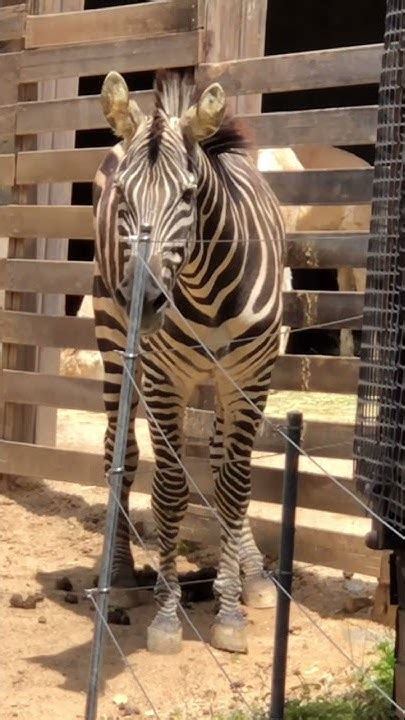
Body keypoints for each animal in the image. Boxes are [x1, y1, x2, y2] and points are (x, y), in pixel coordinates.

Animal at [93, 68, 285, 654]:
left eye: (188, 193)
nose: (145, 298)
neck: (206, 287)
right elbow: (172, 491)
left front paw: (230, 609)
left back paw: (252, 575)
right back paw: (121, 576)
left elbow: (233, 487)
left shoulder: (251, 377)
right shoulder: (163, 379)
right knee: (120, 453)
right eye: (124, 196)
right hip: (112, 338)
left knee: (223, 464)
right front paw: (166, 615)